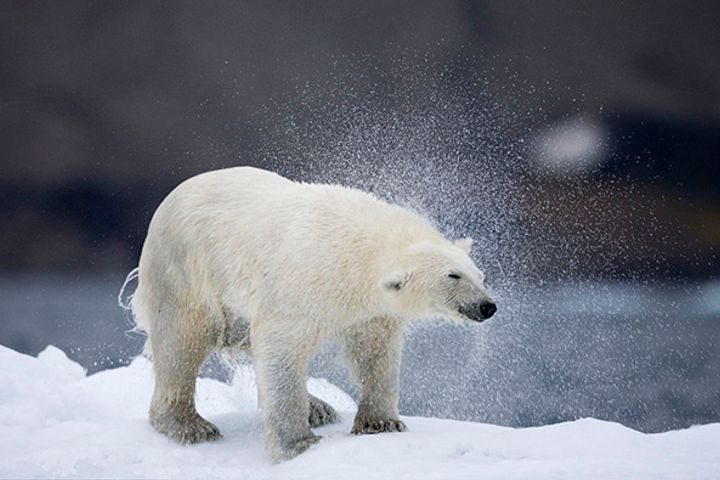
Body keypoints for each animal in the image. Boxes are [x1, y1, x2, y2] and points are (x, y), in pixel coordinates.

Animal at [130, 166, 496, 462]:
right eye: (453, 276)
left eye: (479, 274)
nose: (487, 306)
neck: (356, 249)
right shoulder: (301, 281)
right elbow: (280, 347)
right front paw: (298, 444)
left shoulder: (370, 310)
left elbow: (375, 352)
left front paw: (381, 422)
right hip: (185, 269)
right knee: (182, 341)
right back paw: (191, 426)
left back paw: (318, 407)